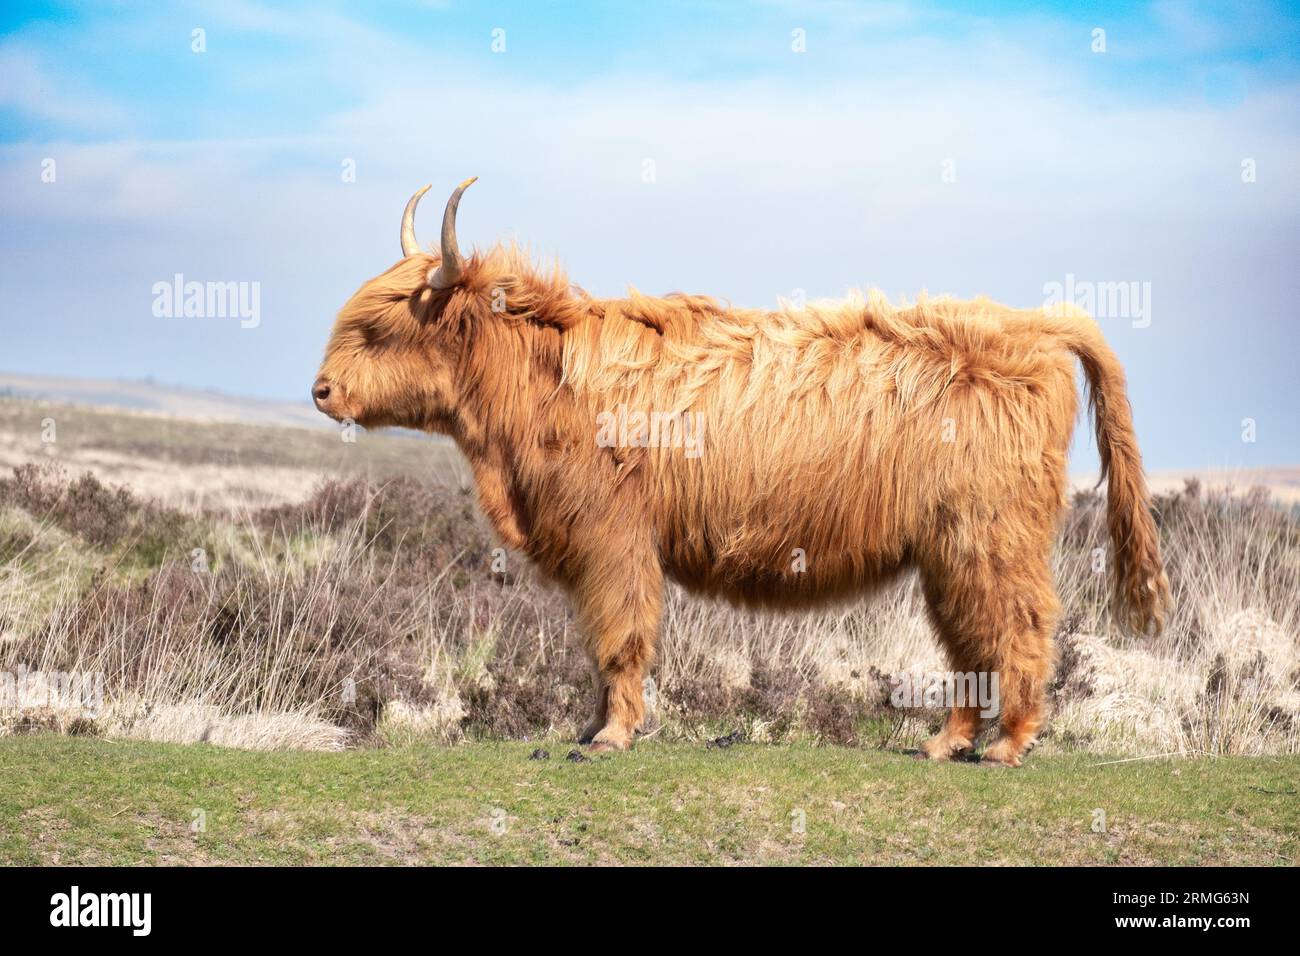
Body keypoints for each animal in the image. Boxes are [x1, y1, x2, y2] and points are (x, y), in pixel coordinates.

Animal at [313, 180, 1170, 766]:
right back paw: (945, 742)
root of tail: (1033, 324)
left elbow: (619, 635)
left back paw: (1008, 744)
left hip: (992, 534)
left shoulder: (614, 539)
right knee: (967, 636)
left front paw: (612, 735)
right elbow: (601, 640)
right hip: (947, 548)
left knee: (1019, 624)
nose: (320, 390)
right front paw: (591, 727)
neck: (535, 386)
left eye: (382, 330)